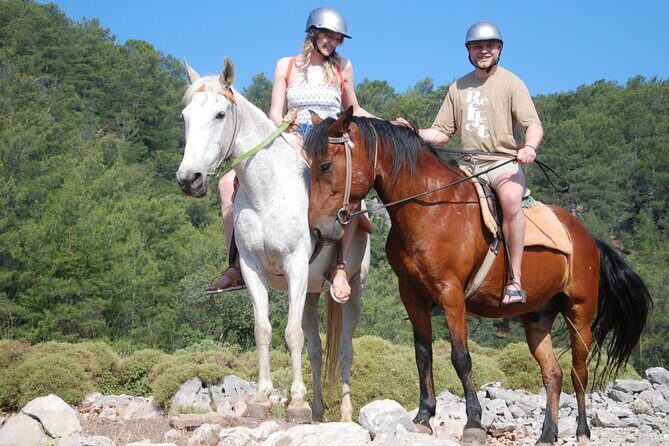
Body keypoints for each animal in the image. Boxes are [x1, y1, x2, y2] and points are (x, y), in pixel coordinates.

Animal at [175, 59, 371, 423]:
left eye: (220, 114)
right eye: (185, 116)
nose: (188, 178)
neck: (267, 189)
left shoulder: (295, 265)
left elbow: (291, 334)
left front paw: (296, 403)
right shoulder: (254, 270)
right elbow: (263, 331)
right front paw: (261, 398)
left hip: (353, 287)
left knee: (345, 350)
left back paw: (345, 413)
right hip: (311, 292)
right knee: (316, 349)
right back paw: (318, 411)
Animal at [305, 107, 651, 446]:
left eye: (325, 165)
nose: (317, 229)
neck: (430, 207)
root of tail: (588, 238)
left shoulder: (451, 293)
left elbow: (461, 357)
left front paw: (473, 422)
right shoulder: (413, 296)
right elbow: (423, 354)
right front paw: (423, 416)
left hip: (579, 313)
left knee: (579, 372)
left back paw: (581, 432)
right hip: (537, 319)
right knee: (553, 374)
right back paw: (547, 434)